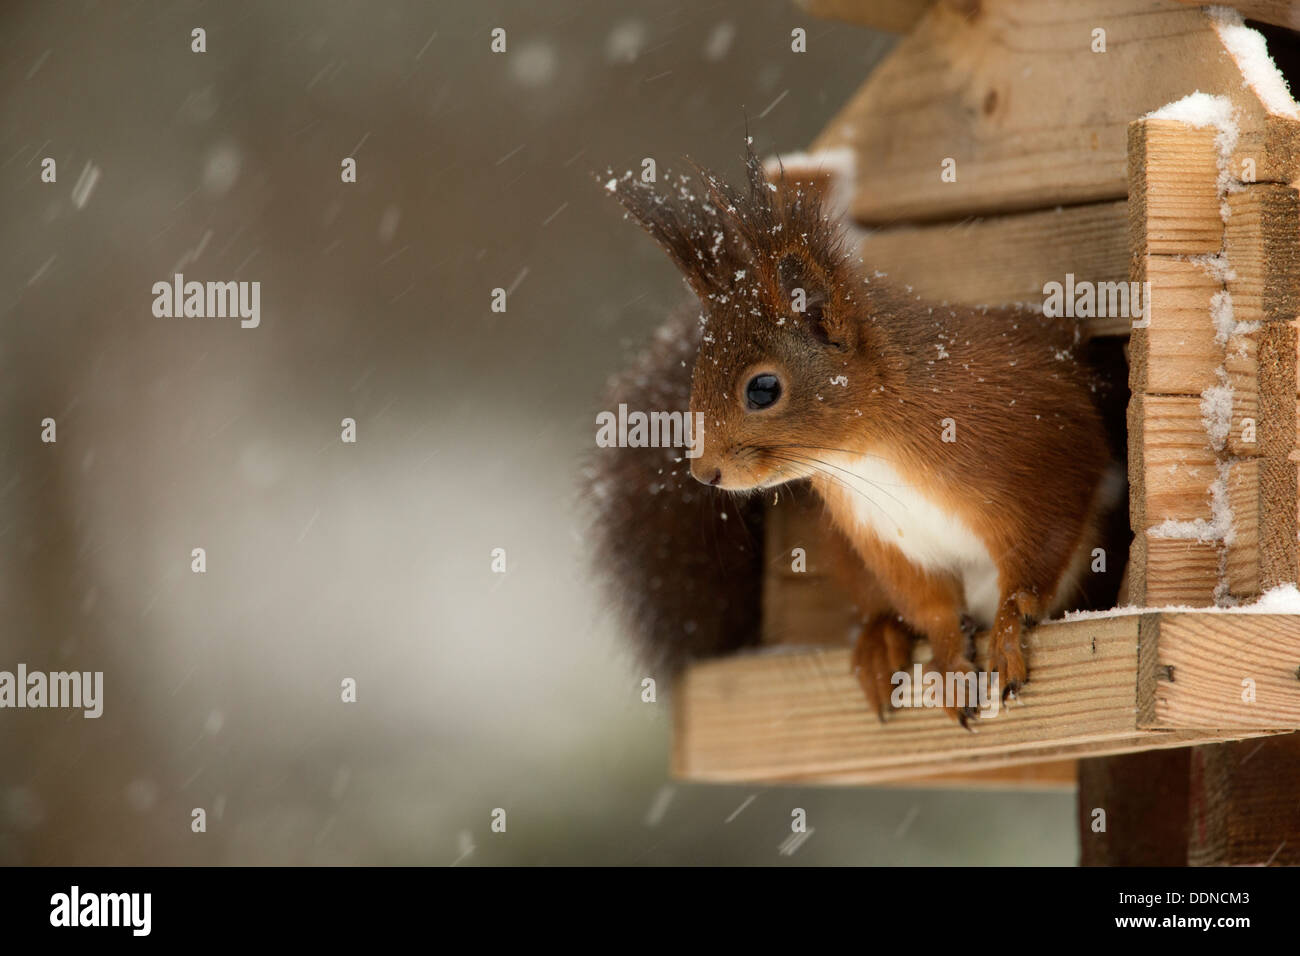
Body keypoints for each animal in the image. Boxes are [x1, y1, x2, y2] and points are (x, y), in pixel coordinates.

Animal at [588, 141, 1126, 725]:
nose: (704, 472)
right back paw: (878, 644)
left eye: (762, 389)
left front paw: (1006, 635)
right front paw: (949, 662)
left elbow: (1032, 570)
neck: (868, 453)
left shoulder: (1043, 459)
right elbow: (931, 608)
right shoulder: (888, 542)